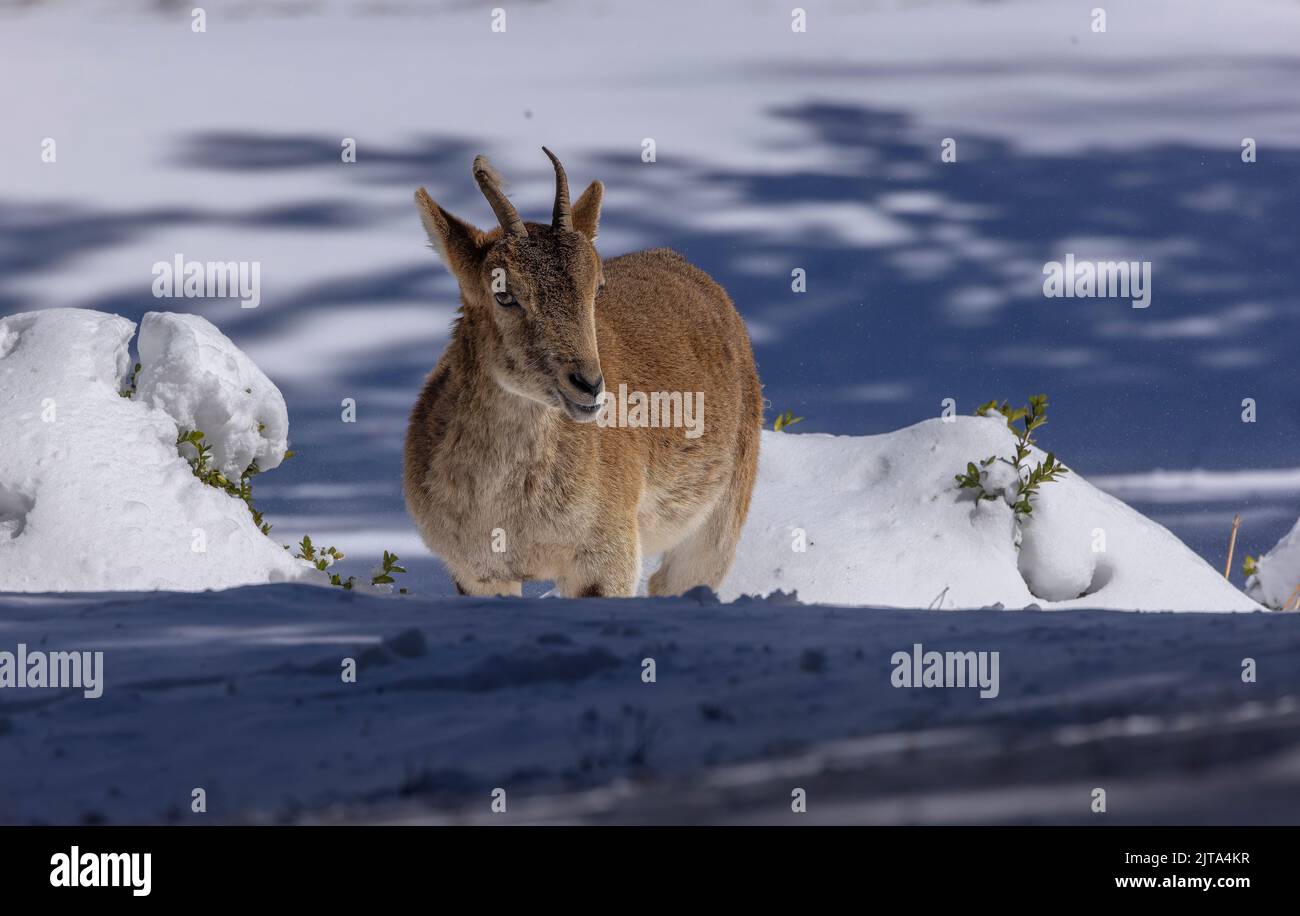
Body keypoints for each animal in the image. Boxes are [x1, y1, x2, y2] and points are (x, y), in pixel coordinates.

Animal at [404, 148, 761, 597]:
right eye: (503, 293)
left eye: (597, 286)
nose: (588, 385)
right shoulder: (475, 572)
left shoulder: (606, 555)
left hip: (722, 513)